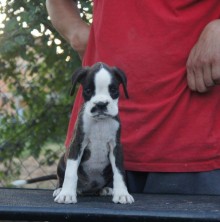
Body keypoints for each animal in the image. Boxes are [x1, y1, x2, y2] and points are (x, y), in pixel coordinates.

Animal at [53, 62, 134, 205]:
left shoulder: (116, 147)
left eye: (113, 90)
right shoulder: (77, 144)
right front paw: (66, 194)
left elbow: (119, 172)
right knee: (62, 176)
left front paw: (122, 194)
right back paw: (60, 189)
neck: (100, 122)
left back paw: (105, 189)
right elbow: (71, 172)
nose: (101, 104)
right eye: (88, 91)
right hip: (62, 161)